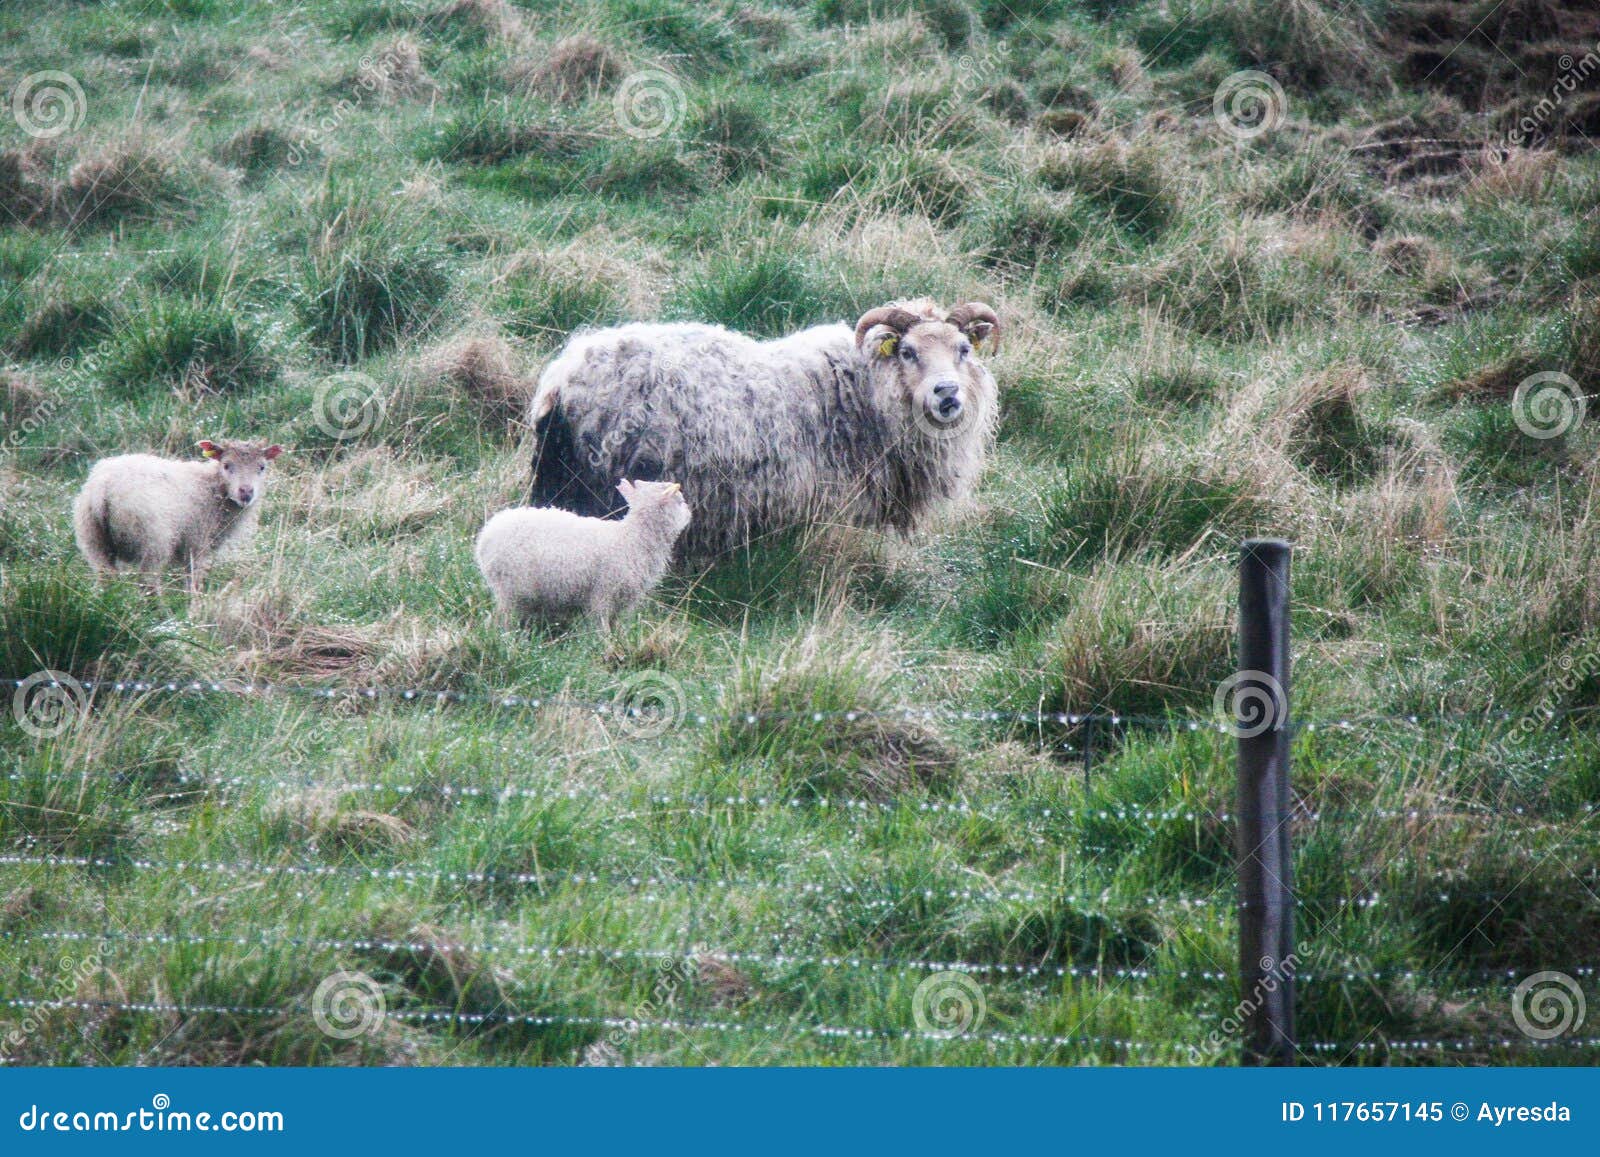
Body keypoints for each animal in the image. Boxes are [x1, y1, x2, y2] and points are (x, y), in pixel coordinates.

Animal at [73, 440, 283, 592]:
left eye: (262, 467)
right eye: (226, 465)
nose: (246, 492)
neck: (212, 487)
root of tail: (103, 488)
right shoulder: (196, 544)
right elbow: (193, 581)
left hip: (94, 539)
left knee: (105, 578)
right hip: (152, 539)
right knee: (148, 581)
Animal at [474, 479, 691, 629]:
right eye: (680, 502)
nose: (690, 511)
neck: (634, 537)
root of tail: (486, 535)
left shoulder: (623, 600)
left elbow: (616, 625)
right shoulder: (603, 592)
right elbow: (601, 624)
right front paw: (606, 645)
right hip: (511, 586)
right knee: (503, 617)